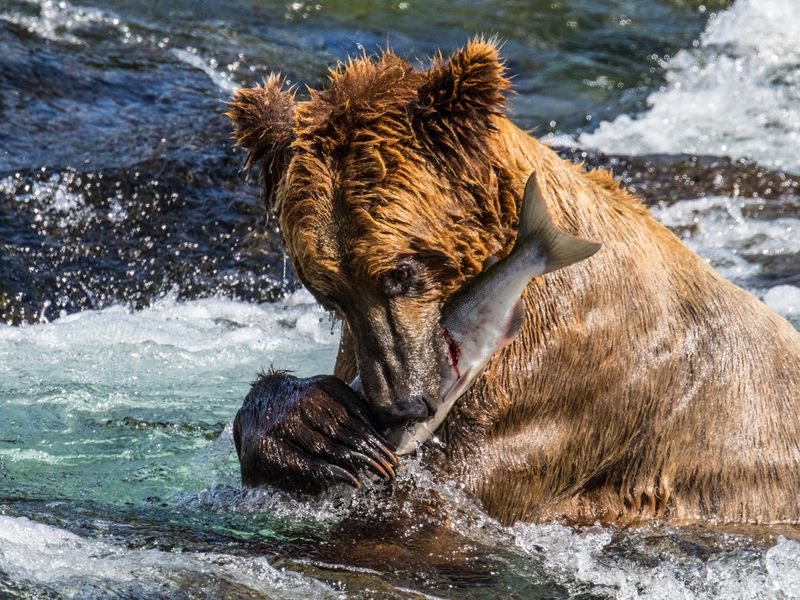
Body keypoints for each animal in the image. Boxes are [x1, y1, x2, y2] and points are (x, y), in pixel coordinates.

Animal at [226, 38, 800, 526]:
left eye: (400, 272)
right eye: (327, 292)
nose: (400, 405)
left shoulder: (572, 377)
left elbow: (455, 487)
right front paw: (319, 428)